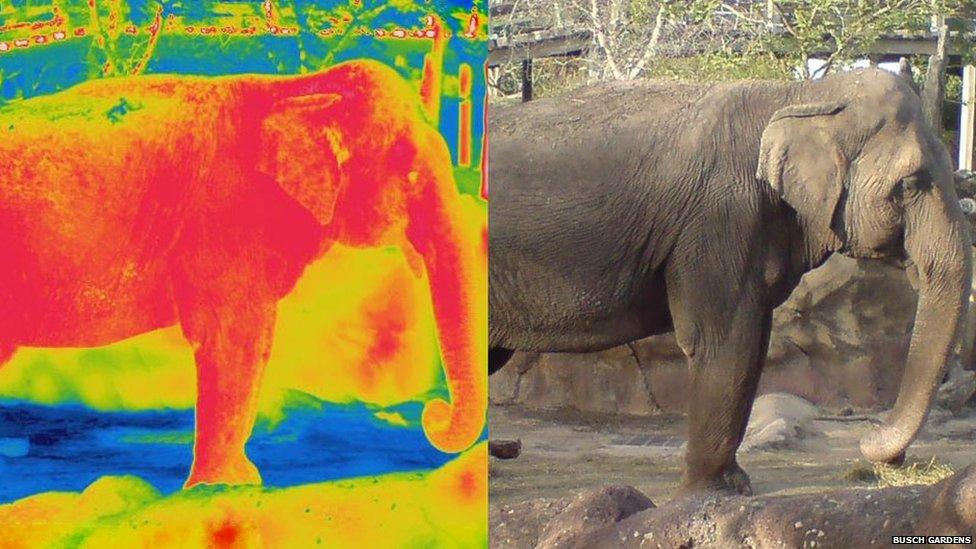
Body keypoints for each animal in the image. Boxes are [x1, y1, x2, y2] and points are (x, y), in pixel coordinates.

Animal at [0, 59, 487, 487]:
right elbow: (236, 335)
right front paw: (227, 486)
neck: (296, 89)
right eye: (409, 172)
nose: (432, 413)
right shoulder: (225, 215)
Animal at [488, 68, 973, 495]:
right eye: (911, 183)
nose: (875, 446)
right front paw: (710, 493)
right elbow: (725, 341)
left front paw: (736, 485)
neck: (801, 94)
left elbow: (754, 343)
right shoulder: (720, 218)